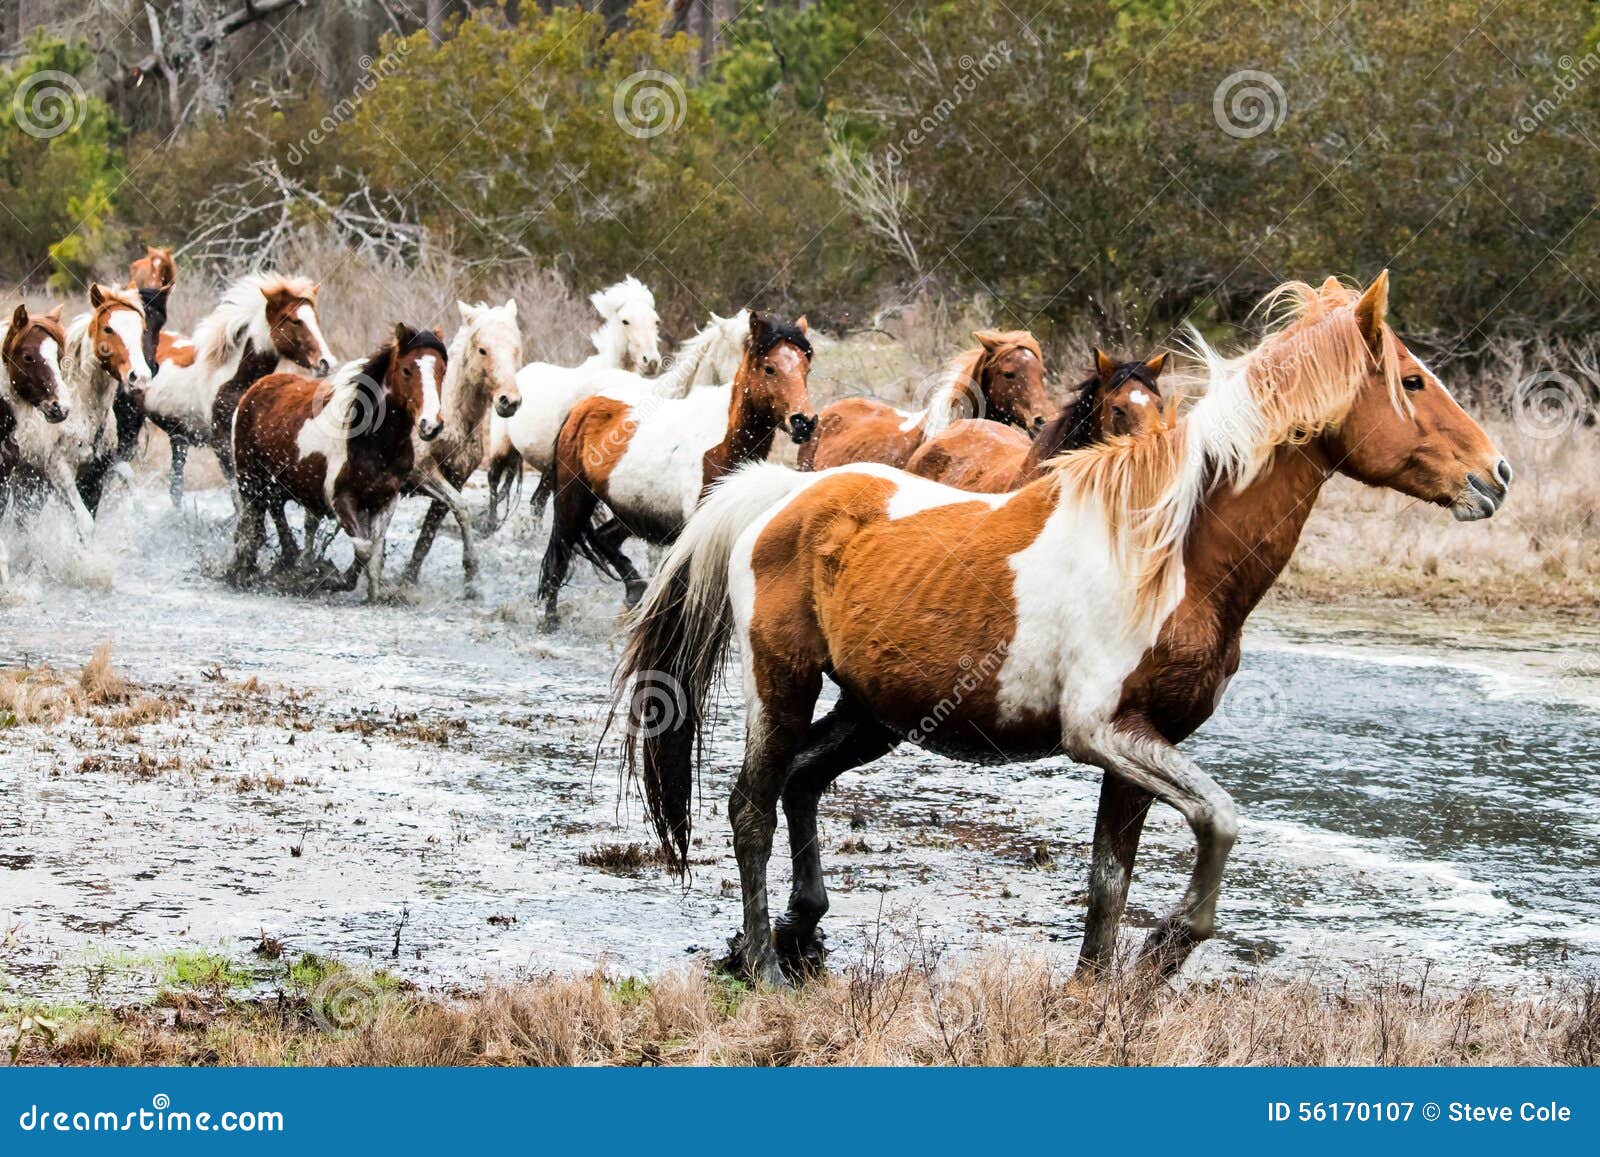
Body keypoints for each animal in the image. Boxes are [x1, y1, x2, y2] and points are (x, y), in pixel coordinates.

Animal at [140, 273, 335, 504]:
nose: (327, 363)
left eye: (316, 319)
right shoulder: (223, 445)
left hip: (178, 438)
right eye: (294, 320)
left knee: (175, 487)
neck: (232, 378)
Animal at [230, 324, 446, 601]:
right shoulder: (340, 499)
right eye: (407, 369)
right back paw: (247, 572)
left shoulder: (386, 500)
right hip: (250, 482)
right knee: (252, 523)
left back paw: (287, 562)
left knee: (276, 512)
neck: (373, 442)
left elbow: (374, 552)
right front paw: (333, 580)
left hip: (277, 485)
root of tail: (256, 388)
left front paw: (373, 595)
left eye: (442, 369)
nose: (430, 425)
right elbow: (364, 548)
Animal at [397, 300, 523, 597]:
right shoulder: (422, 472)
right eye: (482, 349)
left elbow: (430, 531)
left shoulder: (456, 477)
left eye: (516, 348)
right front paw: (472, 574)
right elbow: (462, 509)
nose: (508, 401)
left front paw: (409, 577)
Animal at [483, 276, 664, 524]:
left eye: (656, 321)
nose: (651, 362)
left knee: (536, 502)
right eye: (625, 321)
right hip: (501, 446)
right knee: (493, 481)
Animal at [537, 312, 816, 630]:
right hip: (572, 499)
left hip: (630, 511)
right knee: (561, 552)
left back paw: (635, 592)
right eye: (769, 368)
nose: (804, 422)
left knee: (602, 538)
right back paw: (551, 618)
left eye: (806, 368)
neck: (725, 442)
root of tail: (584, 406)